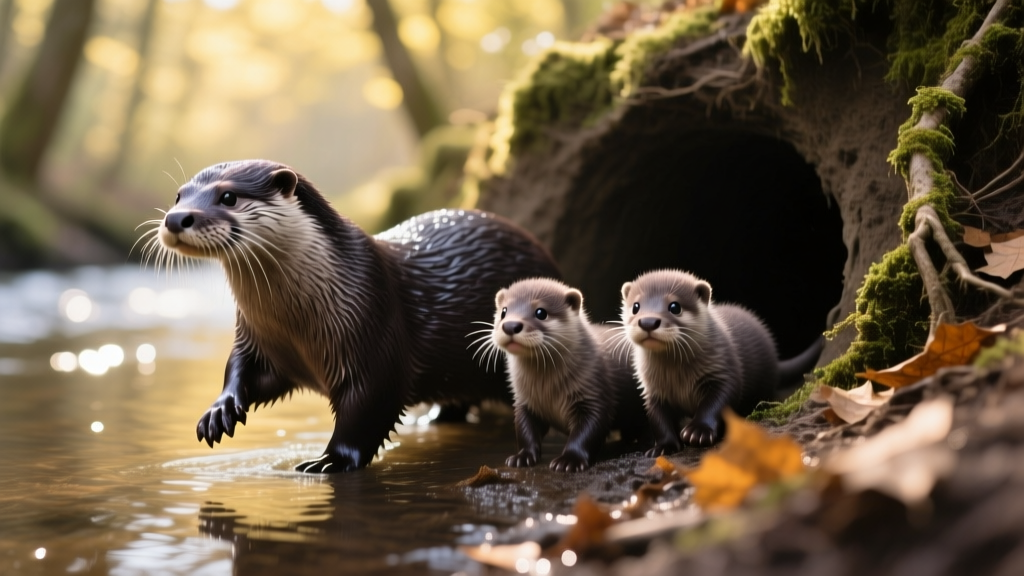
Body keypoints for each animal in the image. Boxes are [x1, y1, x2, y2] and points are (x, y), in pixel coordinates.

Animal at [152, 160, 561, 473]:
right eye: (178, 196)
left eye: (228, 196)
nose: (176, 218)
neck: (297, 326)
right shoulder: (262, 341)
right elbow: (242, 370)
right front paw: (219, 409)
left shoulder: (374, 335)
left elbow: (368, 408)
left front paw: (330, 460)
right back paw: (437, 417)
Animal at [476, 278, 645, 472]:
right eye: (504, 311)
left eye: (541, 312)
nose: (510, 325)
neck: (548, 390)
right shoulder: (525, 401)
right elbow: (525, 429)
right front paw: (522, 457)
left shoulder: (595, 393)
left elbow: (587, 431)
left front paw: (569, 460)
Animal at [619, 269, 822, 454]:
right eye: (635, 306)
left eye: (675, 306)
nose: (648, 321)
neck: (679, 378)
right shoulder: (652, 390)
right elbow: (658, 419)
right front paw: (663, 447)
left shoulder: (723, 370)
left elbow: (717, 403)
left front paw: (698, 431)